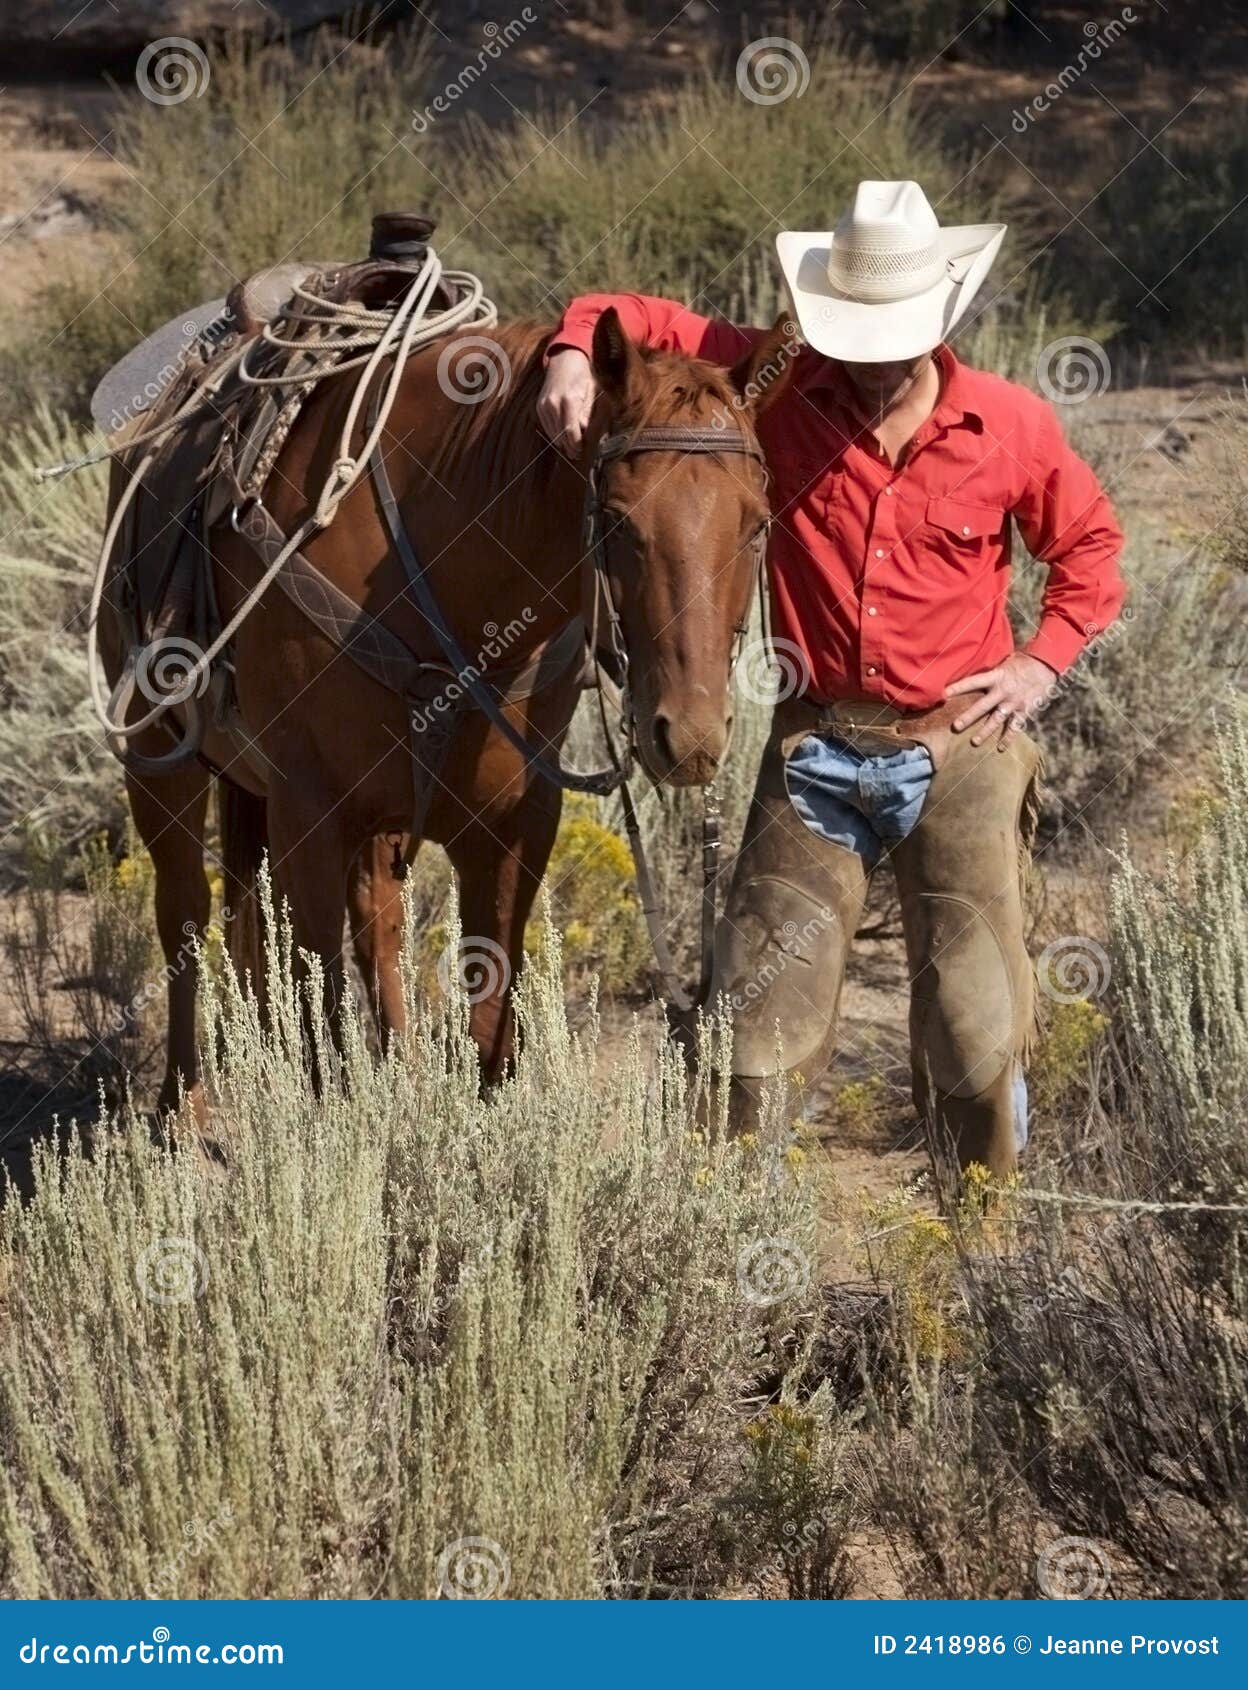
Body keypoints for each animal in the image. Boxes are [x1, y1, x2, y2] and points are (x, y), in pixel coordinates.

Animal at [100, 305, 792, 1123]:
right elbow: (319, 1019)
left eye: (757, 525)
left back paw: (397, 1069)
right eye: (619, 523)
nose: (687, 737)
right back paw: (184, 1106)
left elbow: (490, 1015)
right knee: (185, 911)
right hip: (161, 763)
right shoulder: (307, 817)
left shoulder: (515, 827)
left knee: (378, 922)